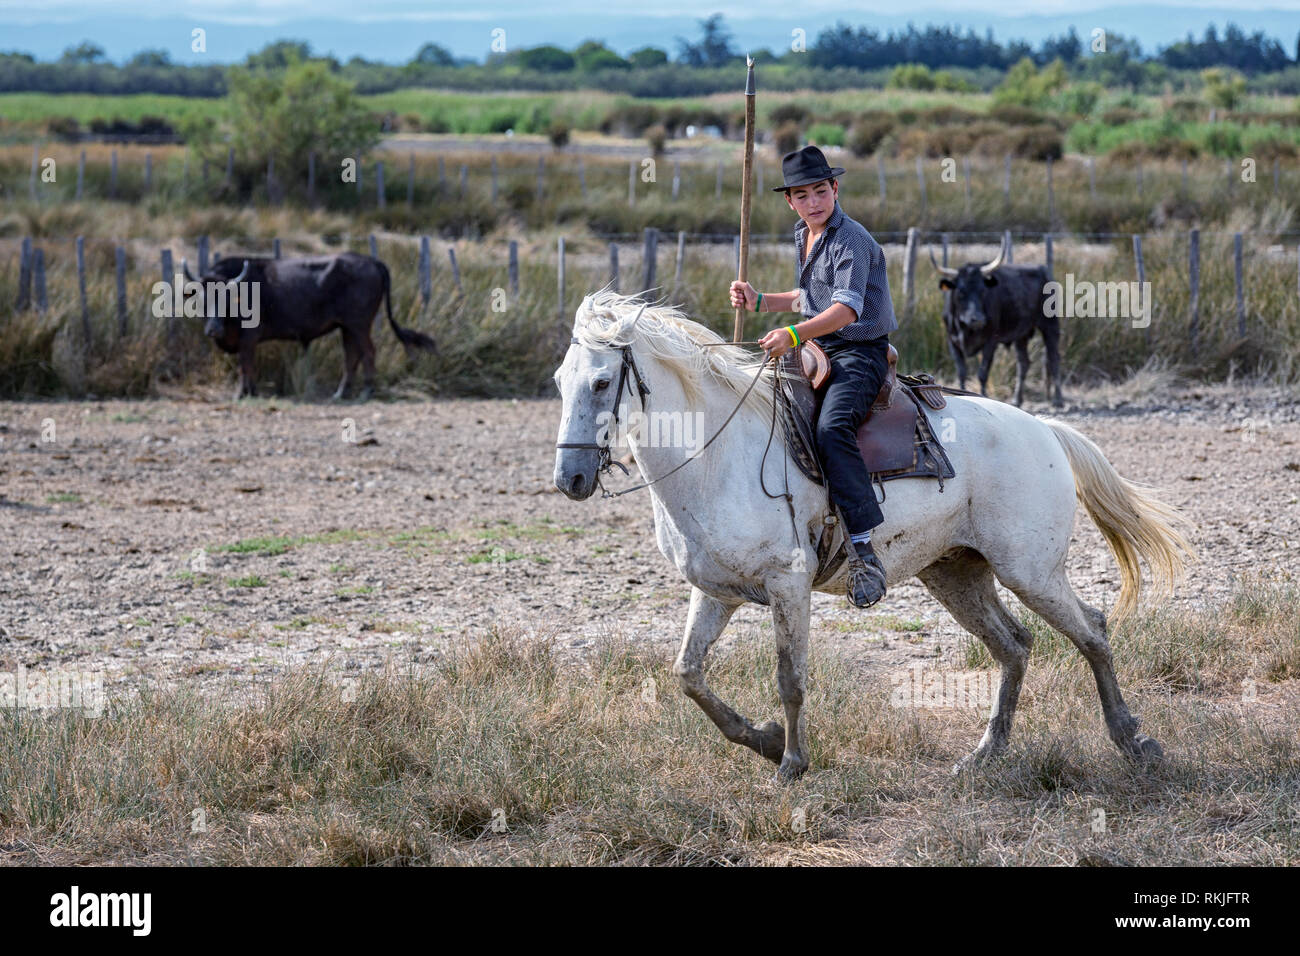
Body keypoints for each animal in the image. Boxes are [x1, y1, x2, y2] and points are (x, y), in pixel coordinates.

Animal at [552, 290, 1196, 782]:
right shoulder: (716, 591)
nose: (570, 479)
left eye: (603, 382)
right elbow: (688, 675)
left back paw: (1133, 740)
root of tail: (1042, 429)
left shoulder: (788, 586)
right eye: (561, 381)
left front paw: (792, 763)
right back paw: (986, 753)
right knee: (1014, 645)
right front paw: (763, 739)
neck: (717, 454)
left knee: (1092, 631)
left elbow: (790, 678)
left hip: (1031, 570)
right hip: (956, 572)